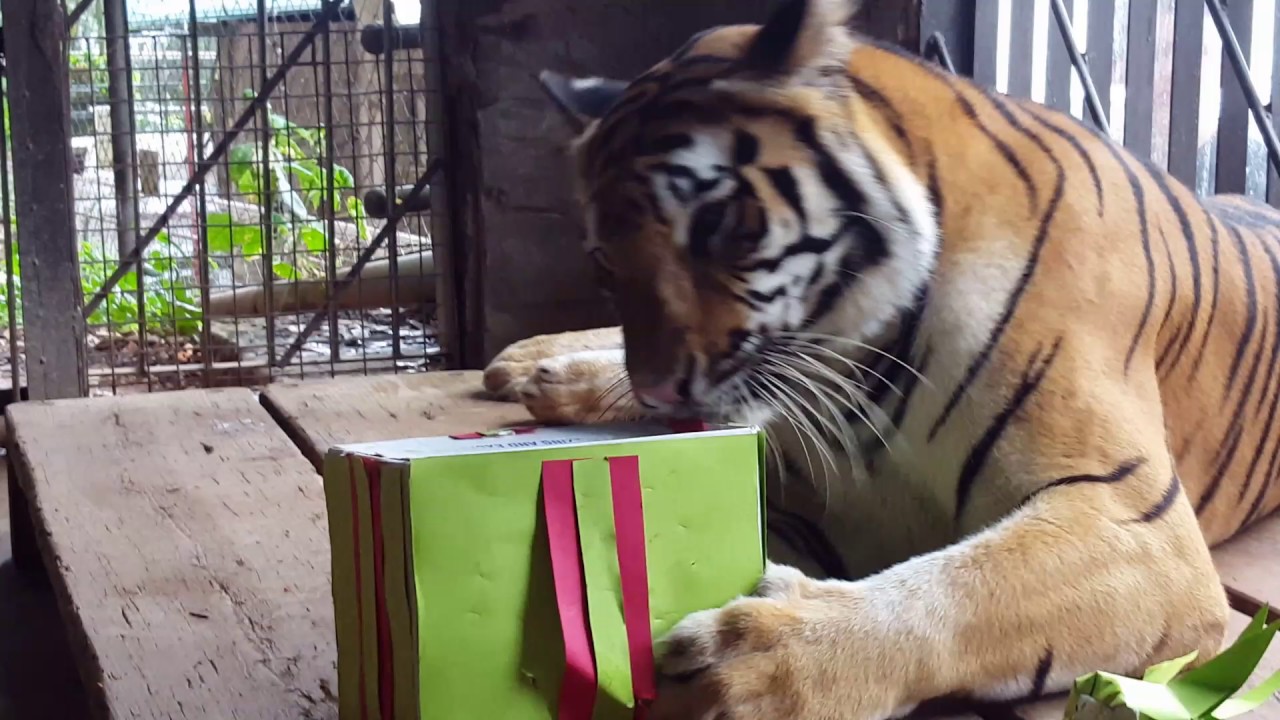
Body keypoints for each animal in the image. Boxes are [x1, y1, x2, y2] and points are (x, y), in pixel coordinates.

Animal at [479, 0, 1280, 717]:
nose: (660, 389)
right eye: (606, 265)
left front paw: (762, 662)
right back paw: (533, 366)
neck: (866, 365)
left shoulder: (1135, 521)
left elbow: (964, 590)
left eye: (720, 224)